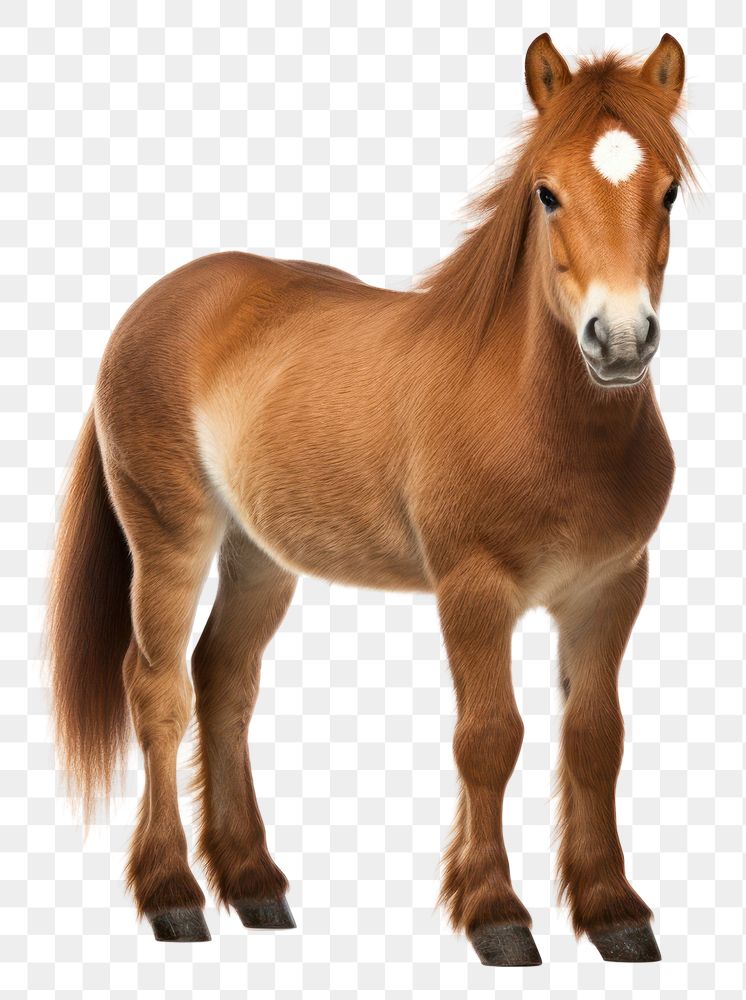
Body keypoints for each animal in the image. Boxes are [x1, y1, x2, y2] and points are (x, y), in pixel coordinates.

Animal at [47, 33, 692, 965]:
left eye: (669, 189)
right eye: (547, 192)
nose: (619, 341)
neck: (541, 418)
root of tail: (153, 304)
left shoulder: (610, 588)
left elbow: (594, 738)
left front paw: (613, 912)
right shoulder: (473, 591)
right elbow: (489, 738)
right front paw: (495, 913)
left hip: (258, 559)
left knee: (224, 680)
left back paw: (255, 884)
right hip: (168, 540)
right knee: (158, 689)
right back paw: (174, 896)